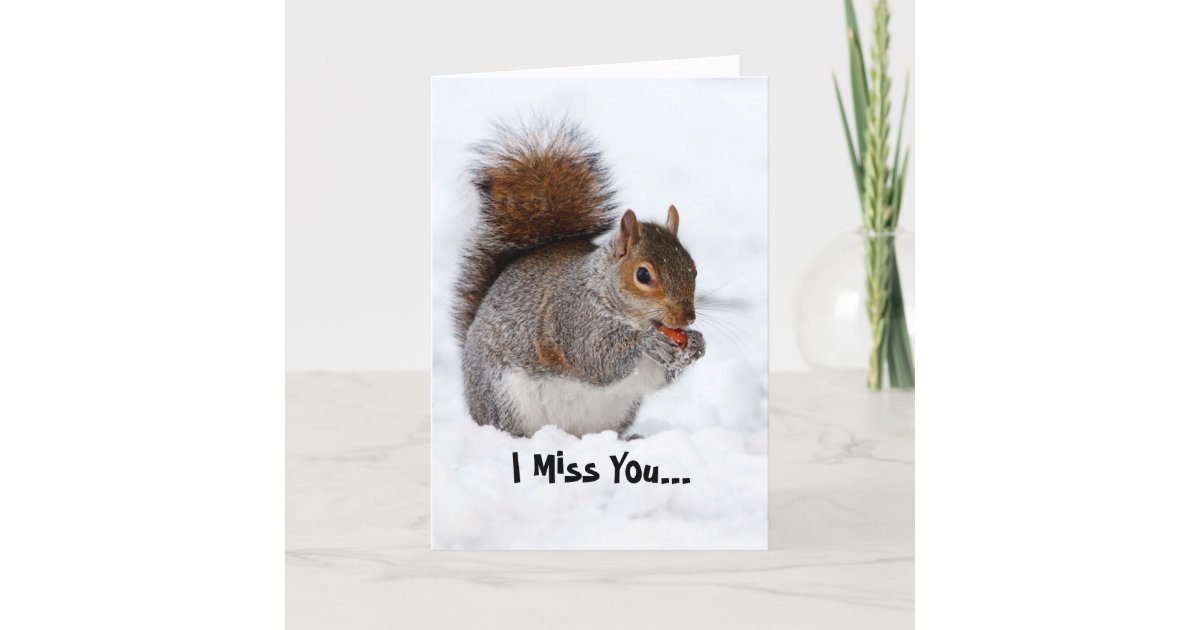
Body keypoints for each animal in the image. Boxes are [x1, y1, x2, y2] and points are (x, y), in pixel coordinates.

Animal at [453, 120, 706, 438]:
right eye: (643, 275)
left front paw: (697, 343)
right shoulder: (574, 317)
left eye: (693, 268)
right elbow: (596, 357)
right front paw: (648, 342)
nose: (687, 318)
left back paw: (628, 439)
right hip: (503, 398)